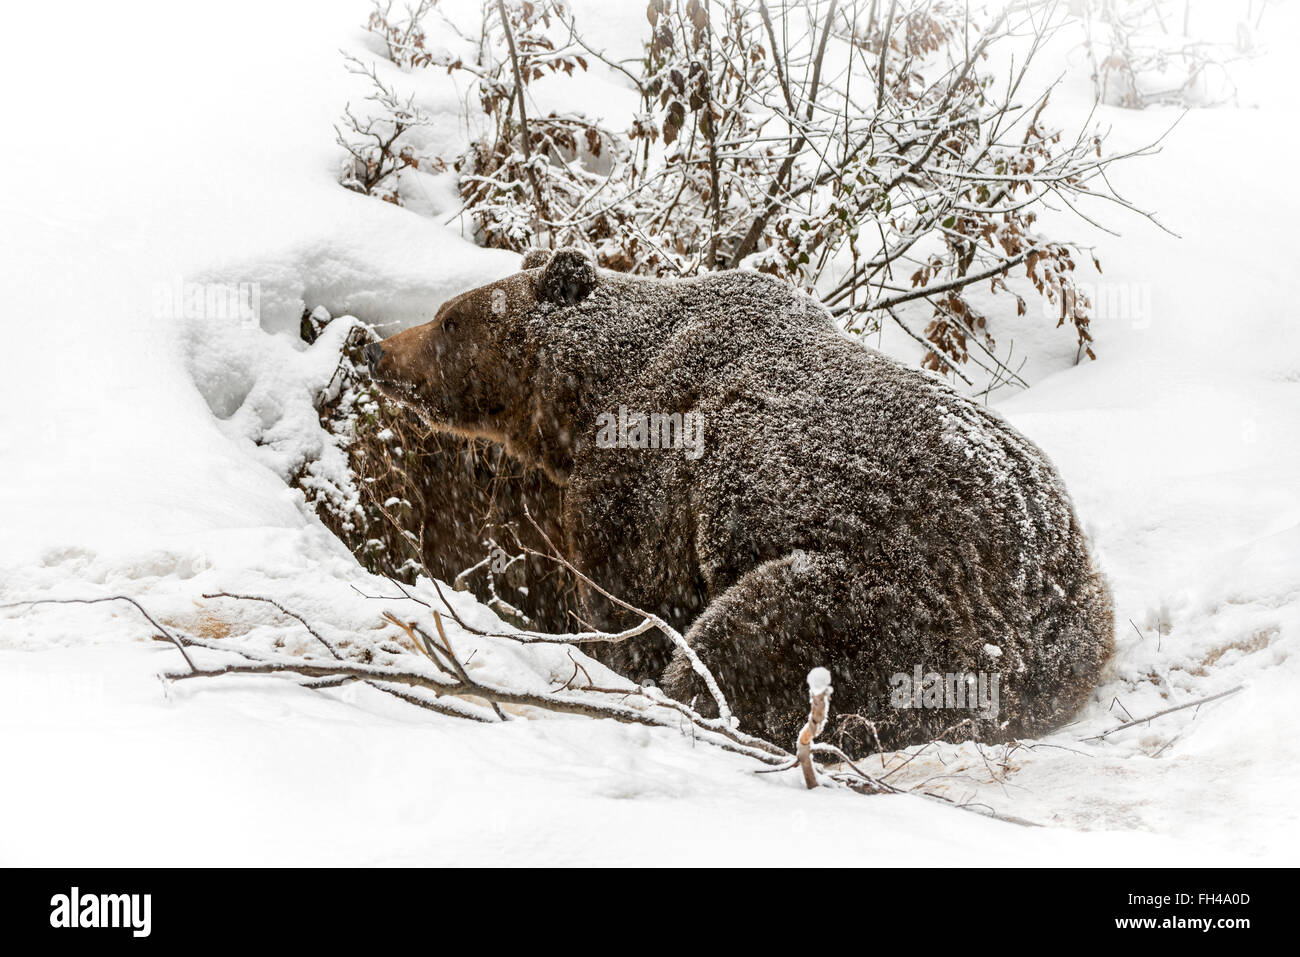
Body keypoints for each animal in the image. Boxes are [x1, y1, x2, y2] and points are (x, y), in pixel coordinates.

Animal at [366, 248, 1114, 750]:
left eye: (448, 319)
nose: (377, 349)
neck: (585, 400)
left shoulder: (646, 476)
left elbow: (636, 599)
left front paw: (623, 664)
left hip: (895, 602)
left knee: (749, 633)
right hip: (1079, 608)